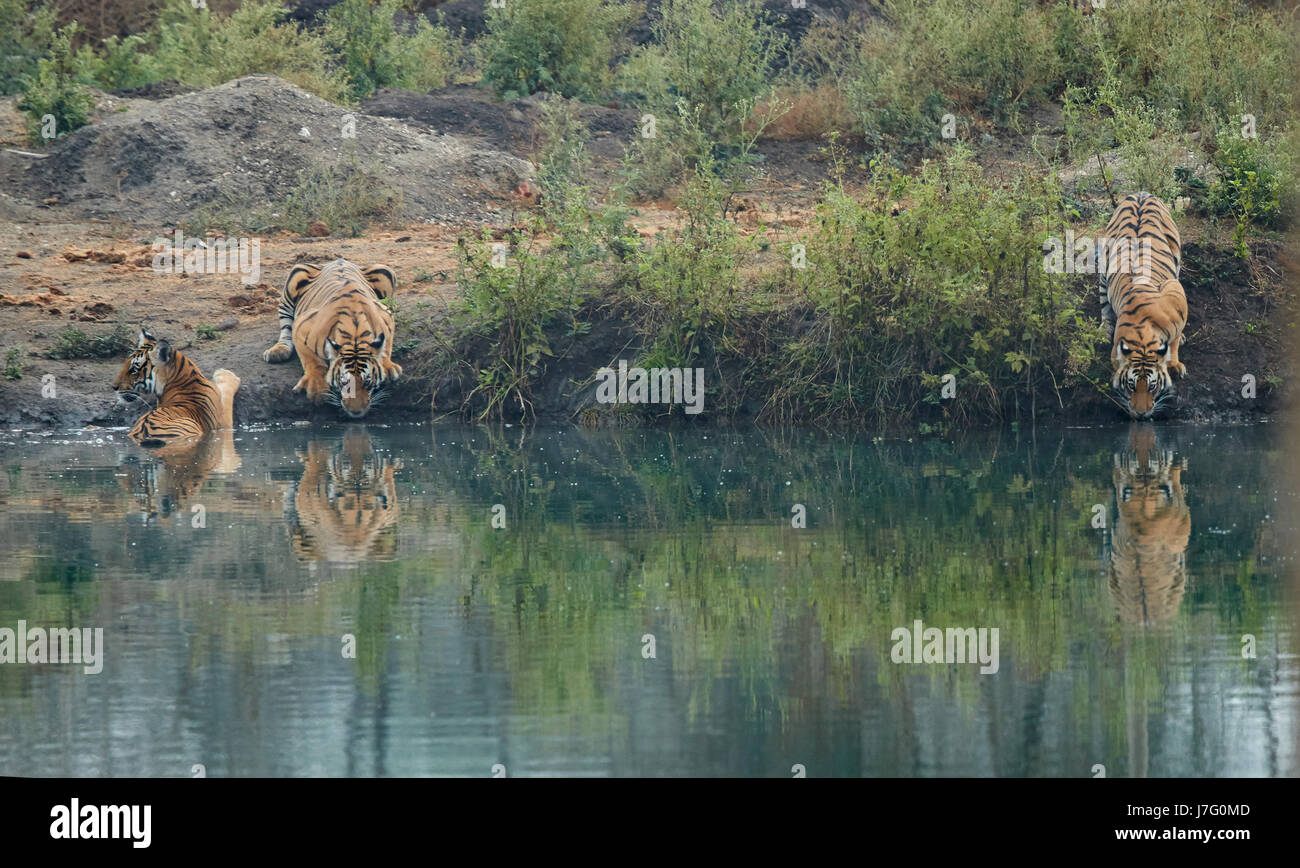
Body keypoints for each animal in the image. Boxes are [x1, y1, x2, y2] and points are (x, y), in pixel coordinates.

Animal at [262, 259, 401, 419]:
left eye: (367, 383)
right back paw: (278, 352)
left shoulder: (386, 315)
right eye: (344, 382)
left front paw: (389, 367)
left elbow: (385, 346)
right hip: (294, 279)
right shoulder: (301, 325)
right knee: (285, 327)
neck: (355, 334)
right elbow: (311, 359)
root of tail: (338, 260)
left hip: (385, 271)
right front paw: (316, 388)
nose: (356, 412)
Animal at [1099, 192, 1188, 419]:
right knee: (1104, 305)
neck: (1142, 333)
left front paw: (1175, 365)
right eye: (1130, 386)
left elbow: (1173, 342)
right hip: (1103, 264)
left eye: (1152, 386)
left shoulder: (1176, 292)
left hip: (1176, 262)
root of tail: (1141, 194)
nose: (1140, 414)